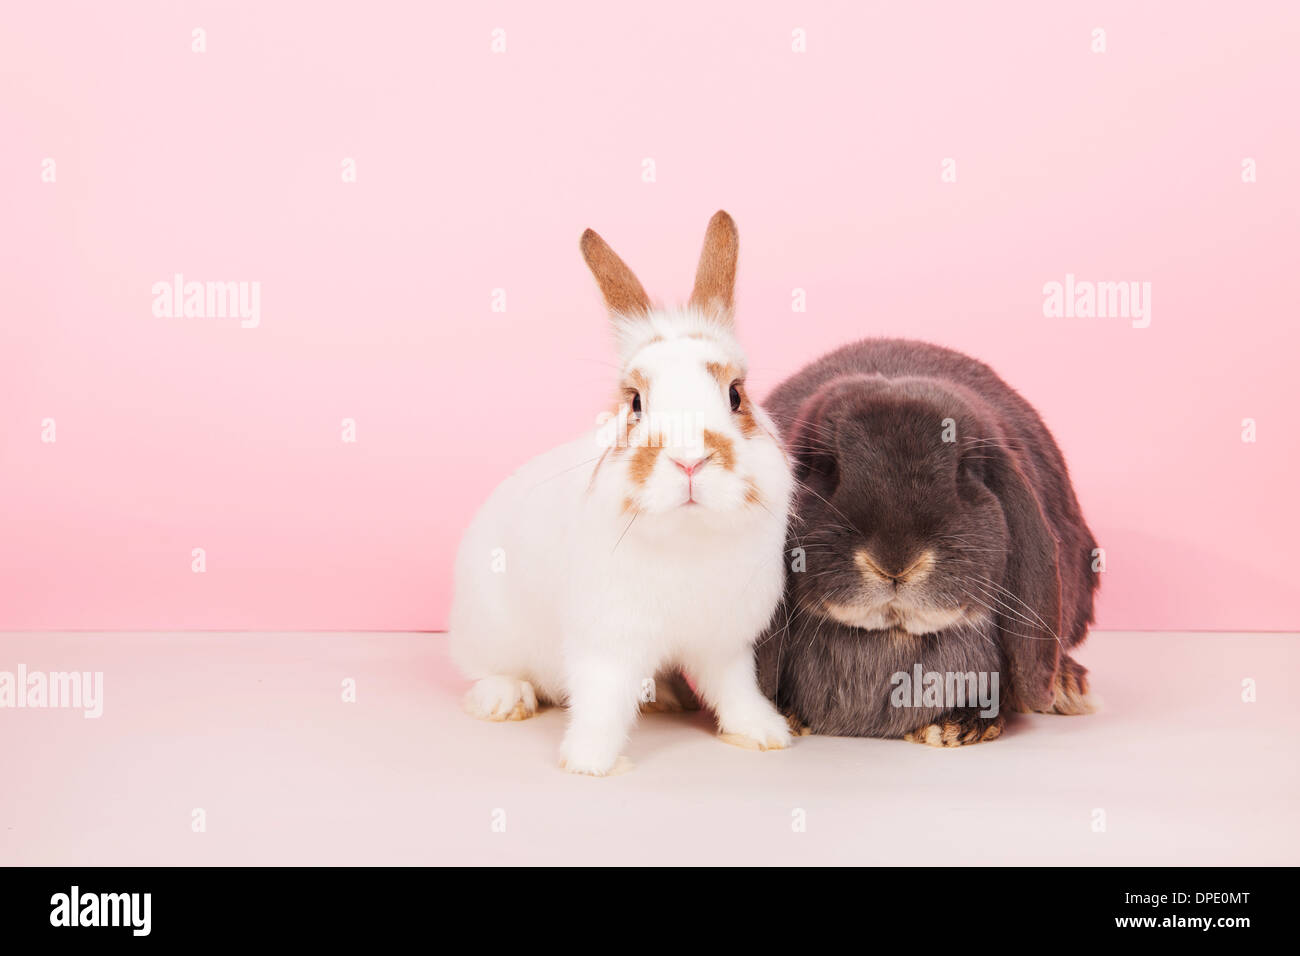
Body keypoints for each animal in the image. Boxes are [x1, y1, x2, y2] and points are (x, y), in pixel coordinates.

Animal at [449, 212, 796, 775]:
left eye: (736, 395)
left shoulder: (724, 644)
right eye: (634, 402)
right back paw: (504, 699)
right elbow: (602, 701)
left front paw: (763, 733)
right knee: (485, 669)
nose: (689, 459)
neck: (687, 541)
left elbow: (735, 689)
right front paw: (590, 761)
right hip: (486, 628)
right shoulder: (606, 643)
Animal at [755, 338, 1099, 746]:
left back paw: (1067, 685)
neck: (892, 637)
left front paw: (957, 725)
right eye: (828, 465)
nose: (895, 562)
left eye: (964, 469)